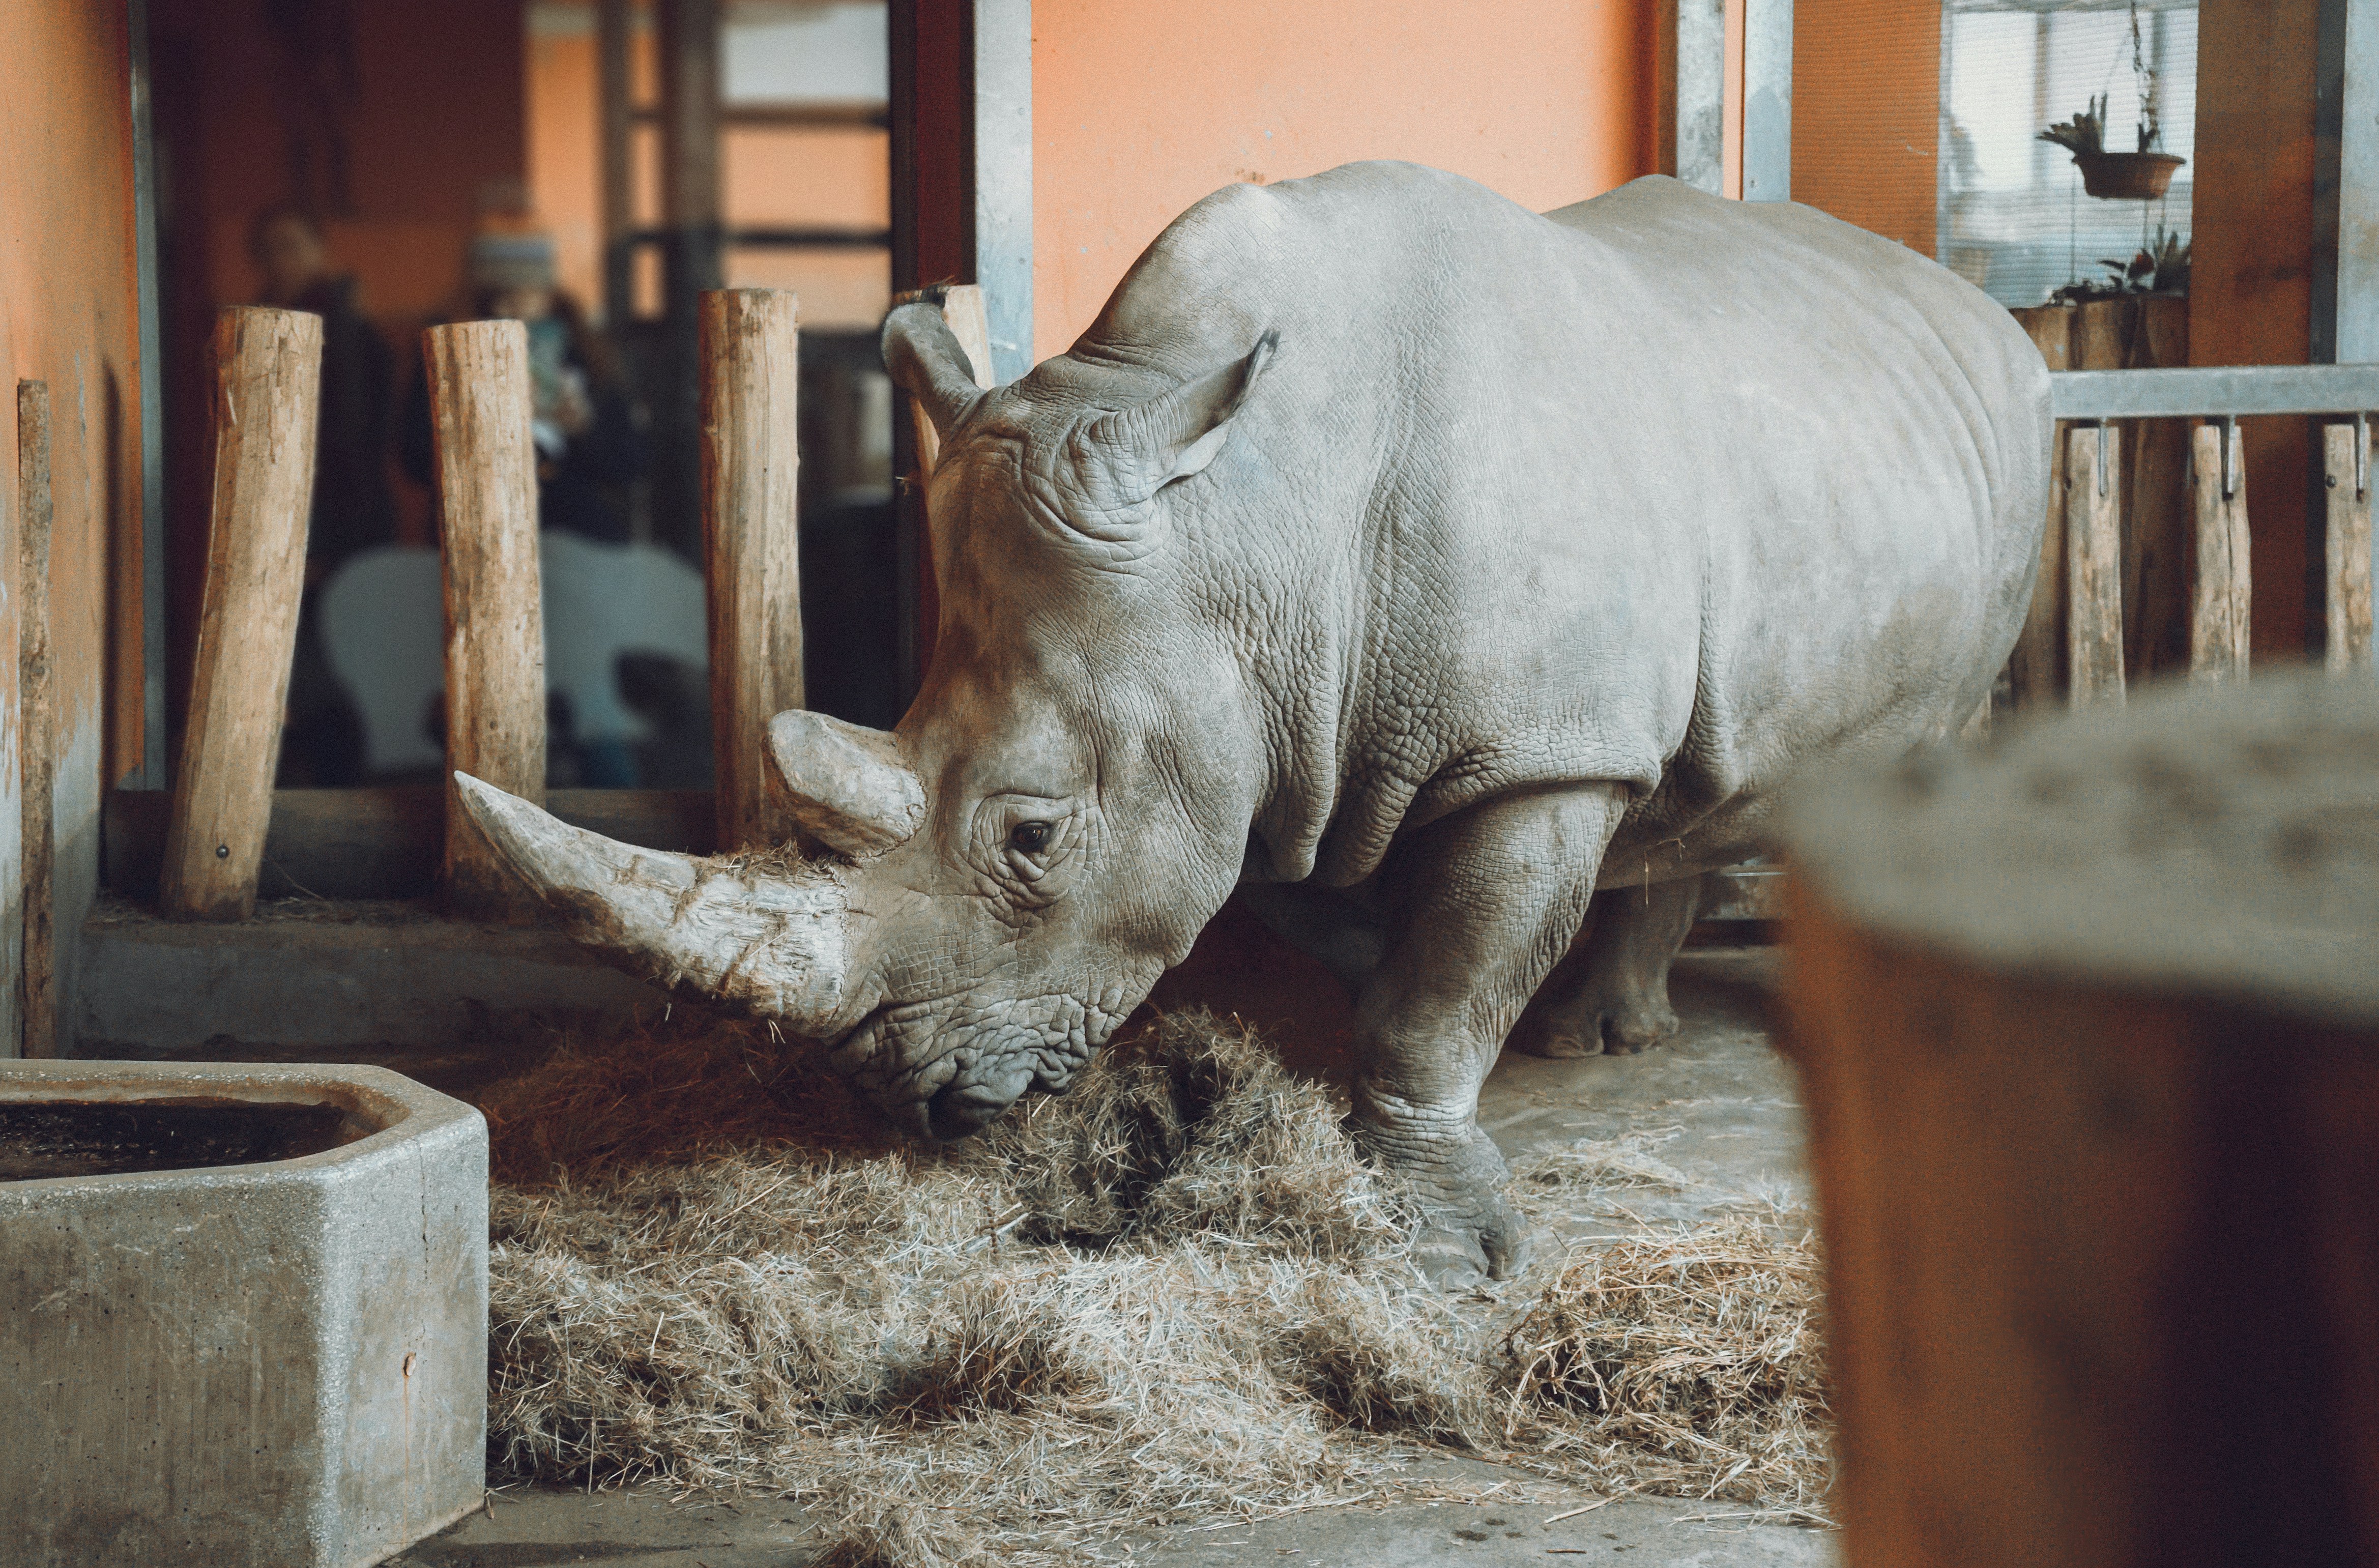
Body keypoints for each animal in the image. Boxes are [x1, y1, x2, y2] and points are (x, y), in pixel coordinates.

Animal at [457, 163, 2048, 1285]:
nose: (911, 1104)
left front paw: (1441, 1248)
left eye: (1033, 836)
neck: (1251, 529)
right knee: (1695, 772)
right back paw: (1601, 1041)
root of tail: (1968, 303)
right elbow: (1344, 930)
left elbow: (1439, 988)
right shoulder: (1285, 741)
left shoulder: (1535, 753)